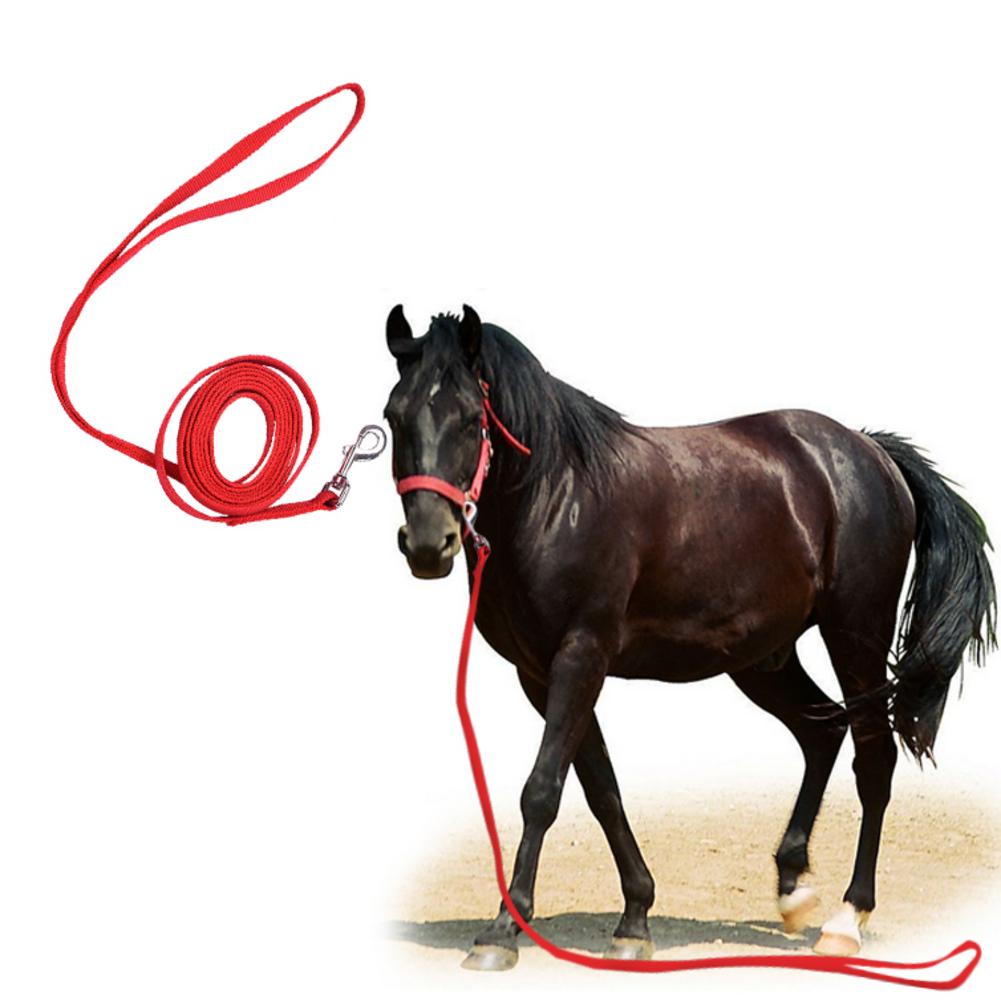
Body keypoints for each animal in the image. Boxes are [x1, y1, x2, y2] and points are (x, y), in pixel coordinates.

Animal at [382, 304, 996, 970]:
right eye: (393, 415)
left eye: (472, 418)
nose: (428, 543)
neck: (558, 496)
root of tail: (870, 451)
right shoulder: (541, 674)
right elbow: (601, 789)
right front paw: (634, 919)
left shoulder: (580, 656)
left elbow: (542, 790)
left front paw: (501, 931)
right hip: (761, 658)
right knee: (822, 732)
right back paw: (792, 887)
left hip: (855, 635)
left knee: (873, 756)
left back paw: (846, 919)